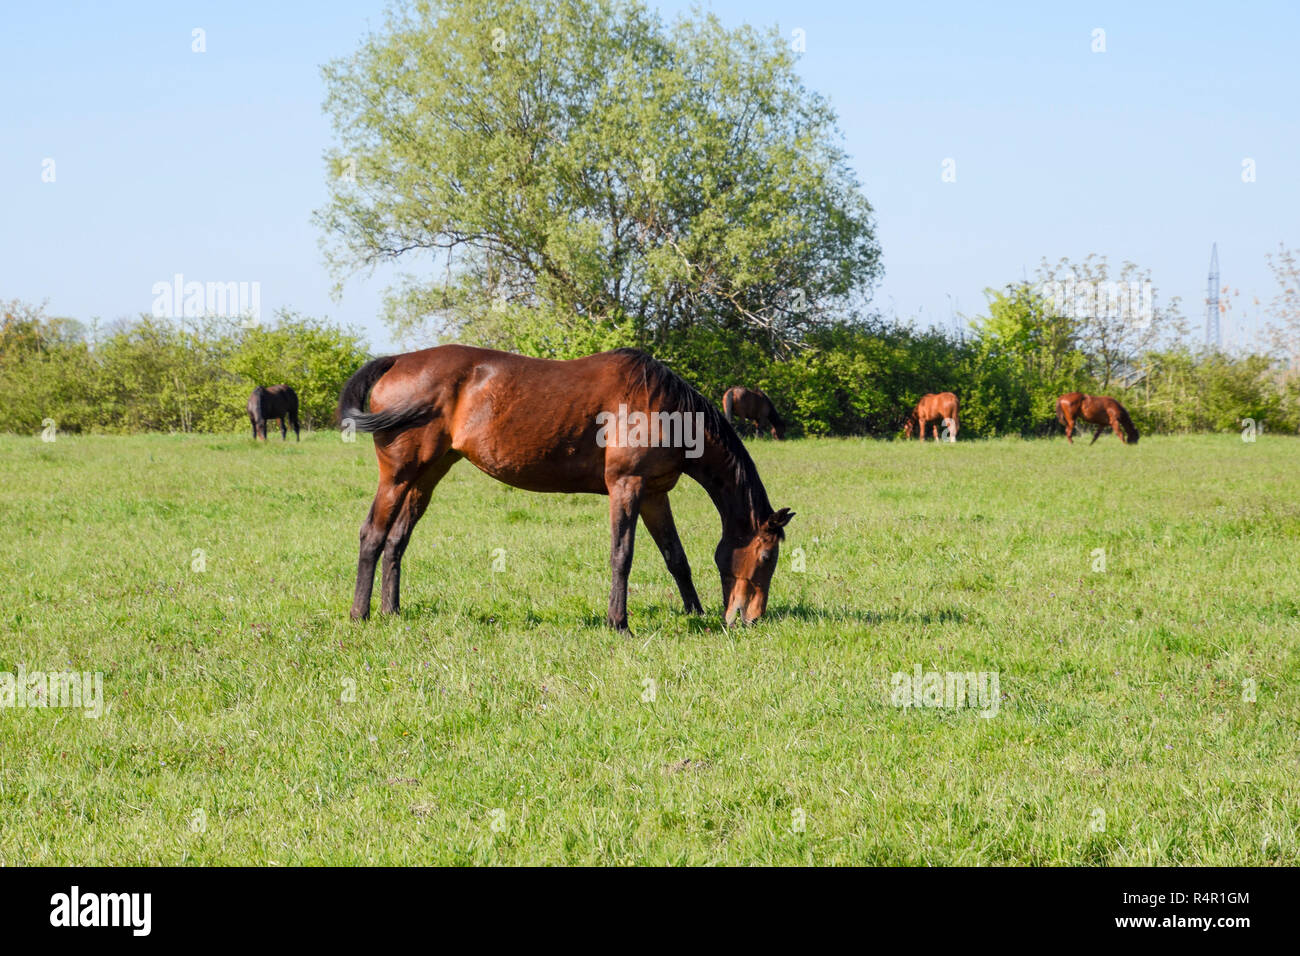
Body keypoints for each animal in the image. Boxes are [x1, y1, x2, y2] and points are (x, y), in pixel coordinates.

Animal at [338, 346, 795, 632]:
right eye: (767, 556)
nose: (751, 618)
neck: (664, 407)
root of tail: (397, 361)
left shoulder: (654, 493)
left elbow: (675, 556)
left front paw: (695, 613)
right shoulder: (626, 486)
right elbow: (622, 556)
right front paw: (619, 623)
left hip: (427, 476)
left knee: (396, 540)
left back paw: (392, 611)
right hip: (397, 475)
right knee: (372, 535)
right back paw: (360, 615)